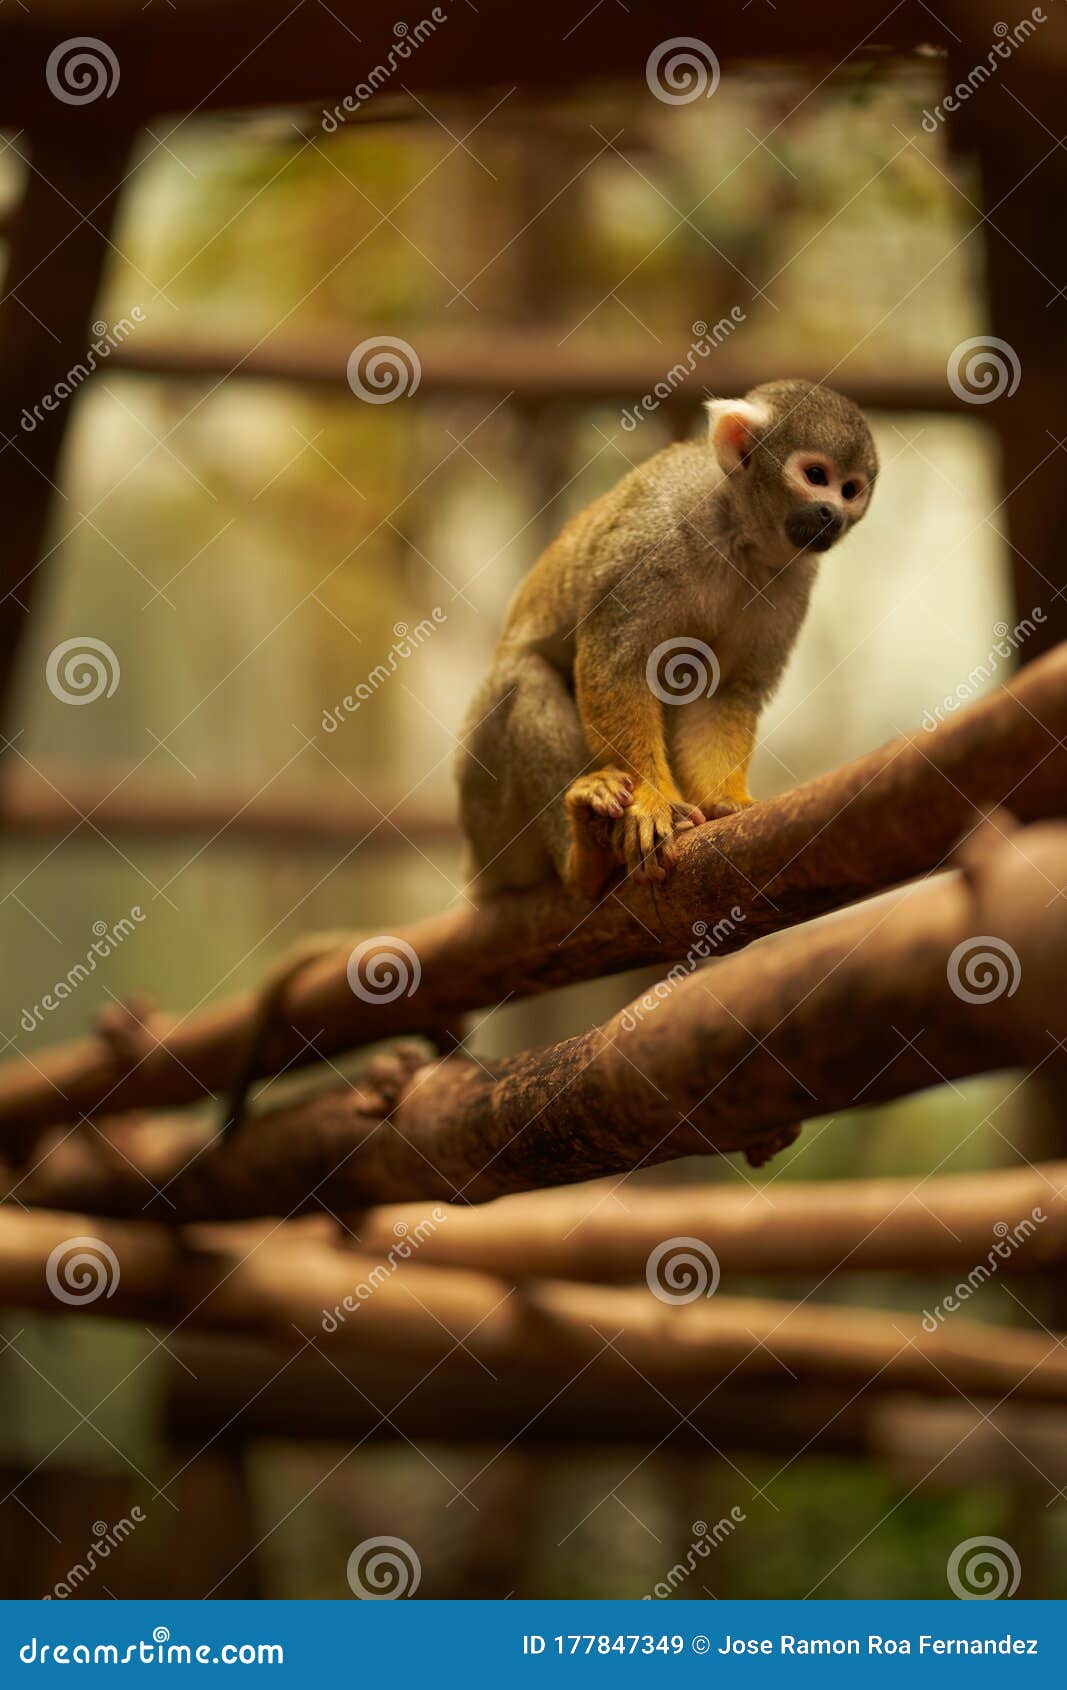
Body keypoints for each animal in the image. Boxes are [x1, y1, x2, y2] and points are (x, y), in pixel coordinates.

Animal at [457, 378, 878, 903]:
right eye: (816, 475)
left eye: (850, 490)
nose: (831, 513)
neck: (738, 531)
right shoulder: (655, 530)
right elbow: (614, 663)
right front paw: (653, 799)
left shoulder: (793, 582)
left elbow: (722, 693)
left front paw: (726, 801)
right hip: (486, 814)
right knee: (522, 678)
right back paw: (582, 860)